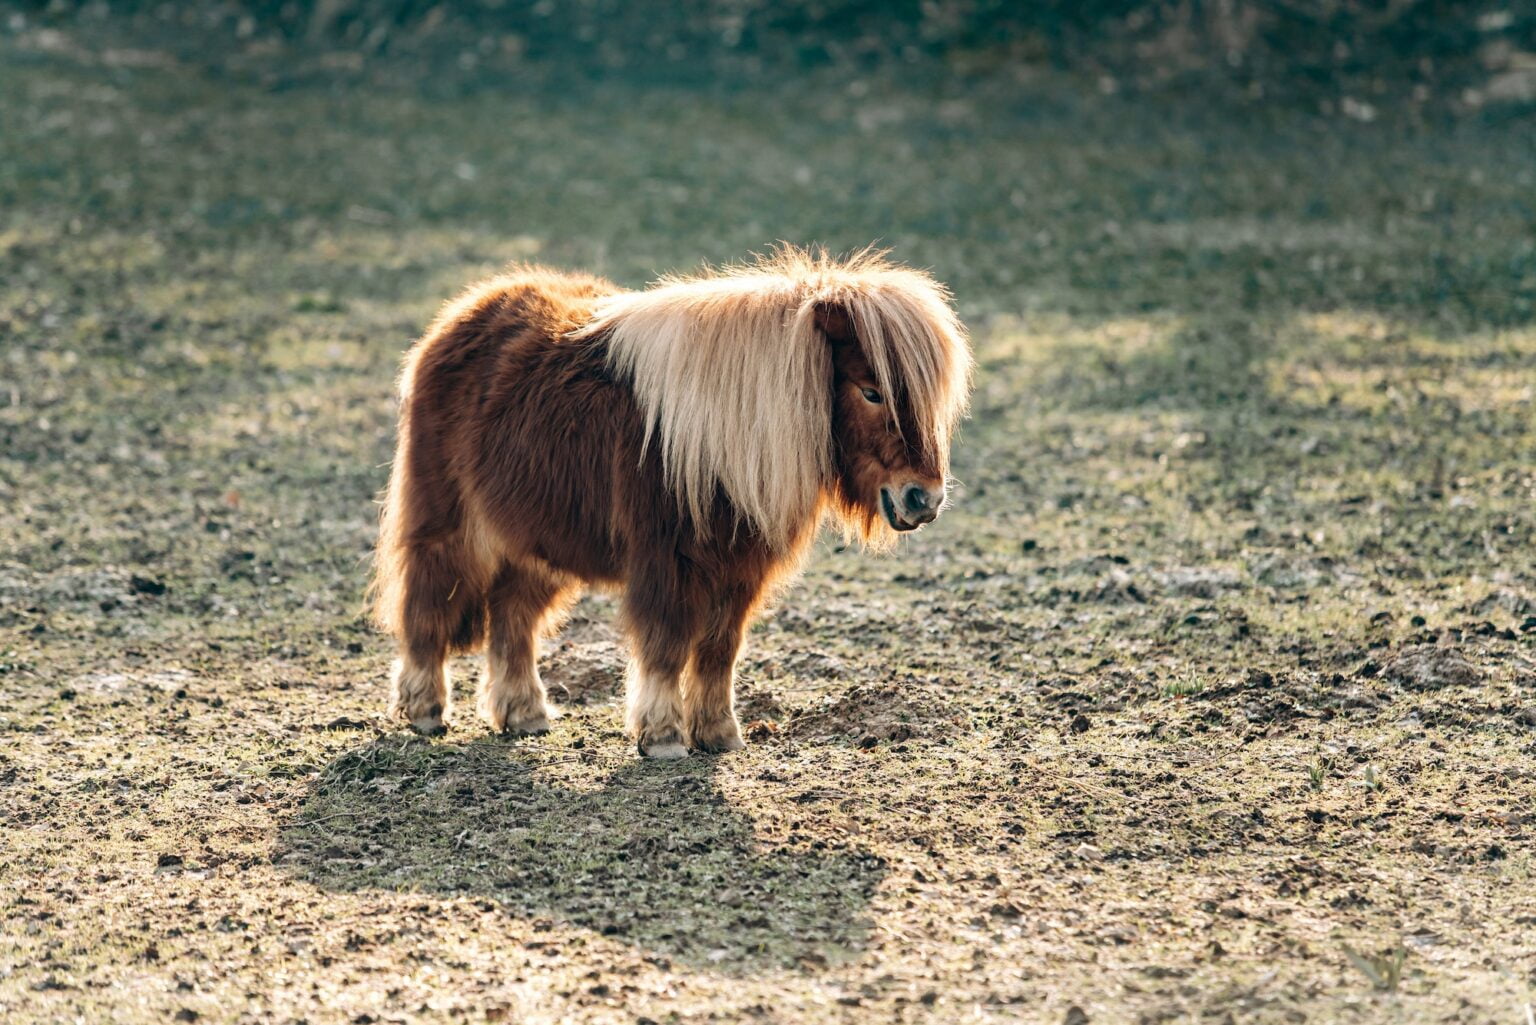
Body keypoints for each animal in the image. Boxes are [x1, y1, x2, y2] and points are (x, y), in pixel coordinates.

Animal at [369, 246, 972, 758]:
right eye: (871, 391)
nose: (924, 499)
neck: (725, 435)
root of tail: (460, 317)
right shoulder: (666, 562)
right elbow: (665, 646)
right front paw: (662, 736)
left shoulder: (739, 569)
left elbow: (719, 651)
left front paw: (719, 733)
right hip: (448, 524)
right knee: (427, 601)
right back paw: (424, 709)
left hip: (536, 543)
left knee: (513, 617)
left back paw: (525, 714)